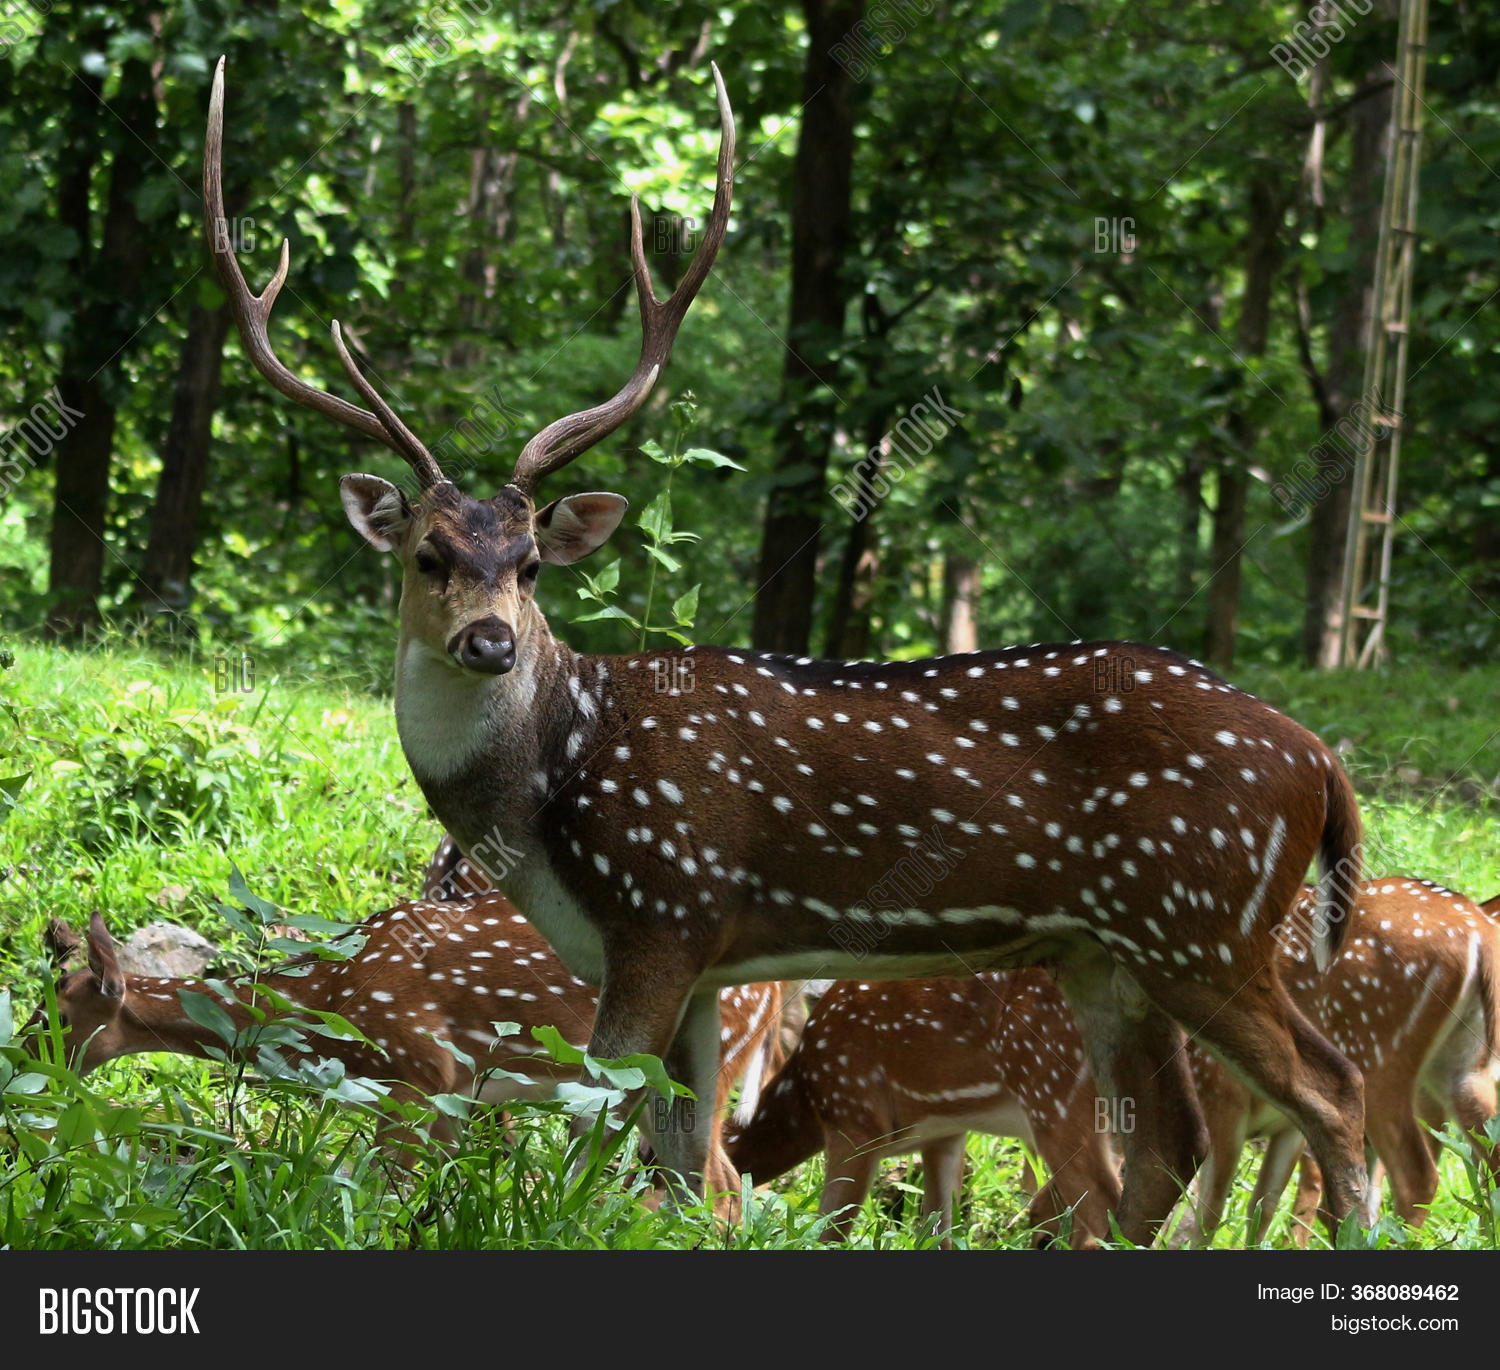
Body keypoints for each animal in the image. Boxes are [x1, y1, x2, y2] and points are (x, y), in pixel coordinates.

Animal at [27, 895, 784, 1209]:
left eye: (56, 1014)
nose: (23, 1060)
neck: (333, 999)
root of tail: (778, 991)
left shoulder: (418, 1071)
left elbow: (384, 1193)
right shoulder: (454, 1092)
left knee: (722, 1186)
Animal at [725, 969, 1121, 1248]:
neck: (805, 1095)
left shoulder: (855, 1119)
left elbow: (830, 1232)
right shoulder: (945, 1134)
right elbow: (938, 1231)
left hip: (1055, 1095)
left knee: (1106, 1210)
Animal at [1184, 877, 1500, 1245]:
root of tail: (1479, 931)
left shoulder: (1221, 1100)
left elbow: (1206, 1214)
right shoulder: (1286, 1128)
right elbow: (1260, 1208)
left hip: (1377, 1056)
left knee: (1417, 1177)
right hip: (1463, 1066)